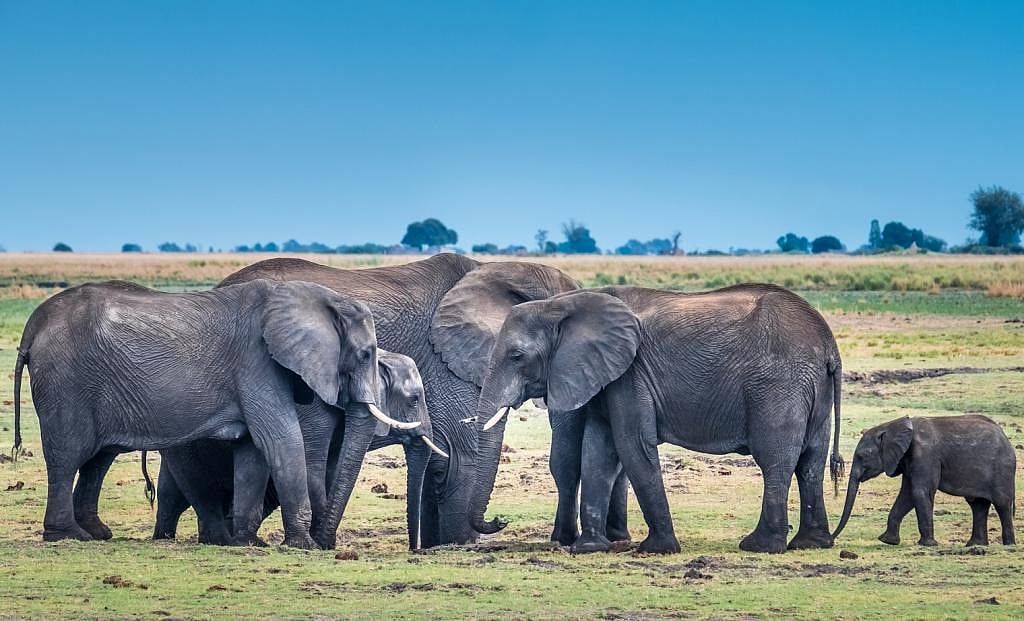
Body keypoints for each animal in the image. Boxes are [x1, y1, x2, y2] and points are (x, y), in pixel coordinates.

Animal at [12, 278, 411, 548]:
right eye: (365, 354)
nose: (330, 545)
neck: (318, 297)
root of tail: (34, 324)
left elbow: (253, 450)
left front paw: (248, 542)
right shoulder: (256, 363)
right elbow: (279, 439)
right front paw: (302, 546)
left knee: (98, 459)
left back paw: (97, 534)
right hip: (66, 382)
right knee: (69, 454)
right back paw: (67, 536)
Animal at [151, 350, 442, 549]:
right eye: (414, 400)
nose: (414, 549)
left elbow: (330, 469)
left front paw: (321, 541)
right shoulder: (313, 409)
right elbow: (312, 466)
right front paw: (320, 544)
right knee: (196, 490)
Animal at [470, 284, 845, 554]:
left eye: (517, 356)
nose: (500, 520)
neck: (563, 305)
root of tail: (829, 346)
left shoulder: (631, 373)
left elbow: (632, 445)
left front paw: (657, 549)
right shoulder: (606, 375)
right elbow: (599, 451)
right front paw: (589, 549)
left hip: (778, 386)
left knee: (775, 460)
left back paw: (760, 546)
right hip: (812, 389)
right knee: (811, 461)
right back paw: (811, 544)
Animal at [832, 415, 1016, 547]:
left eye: (862, 456)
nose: (831, 540)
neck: (892, 426)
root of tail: (1006, 439)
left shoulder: (925, 455)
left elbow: (919, 492)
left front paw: (927, 545)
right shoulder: (907, 458)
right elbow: (906, 496)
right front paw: (887, 541)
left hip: (1002, 468)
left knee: (1001, 503)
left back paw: (1008, 545)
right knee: (978, 505)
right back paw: (975, 545)